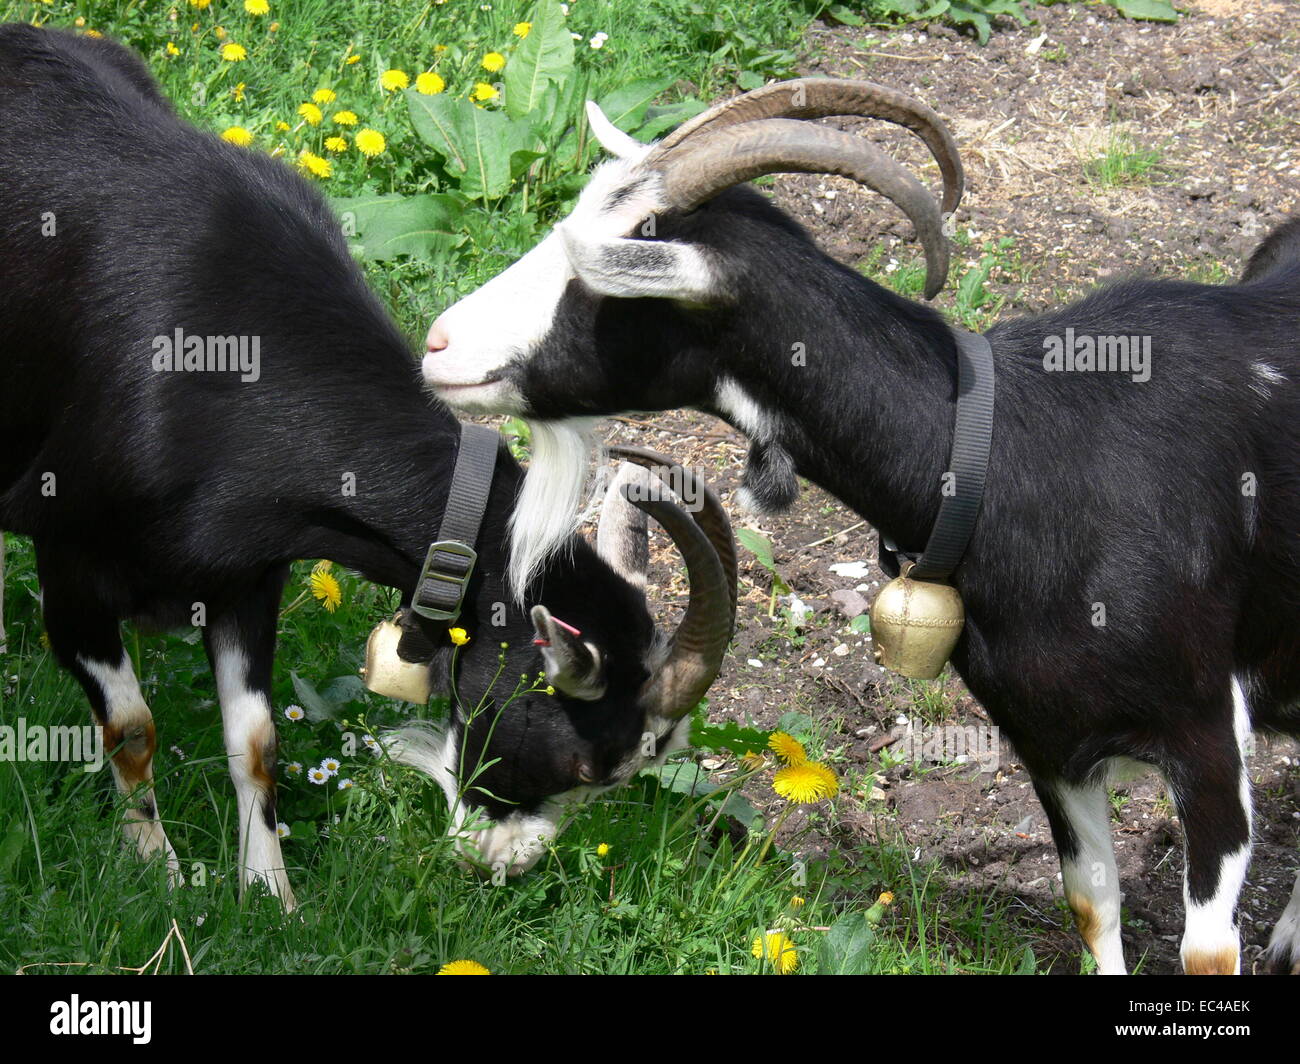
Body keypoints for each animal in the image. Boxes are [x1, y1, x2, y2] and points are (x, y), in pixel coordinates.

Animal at [0, 24, 736, 907]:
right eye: (590, 760)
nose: (501, 867)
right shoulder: (69, 557)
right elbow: (132, 728)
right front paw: (160, 875)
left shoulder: (246, 572)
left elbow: (258, 740)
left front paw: (270, 896)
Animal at [422, 78, 1300, 974]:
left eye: (614, 271)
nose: (438, 342)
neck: (1020, 457)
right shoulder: (1046, 739)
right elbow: (1093, 906)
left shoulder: (1206, 734)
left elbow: (1206, 953)